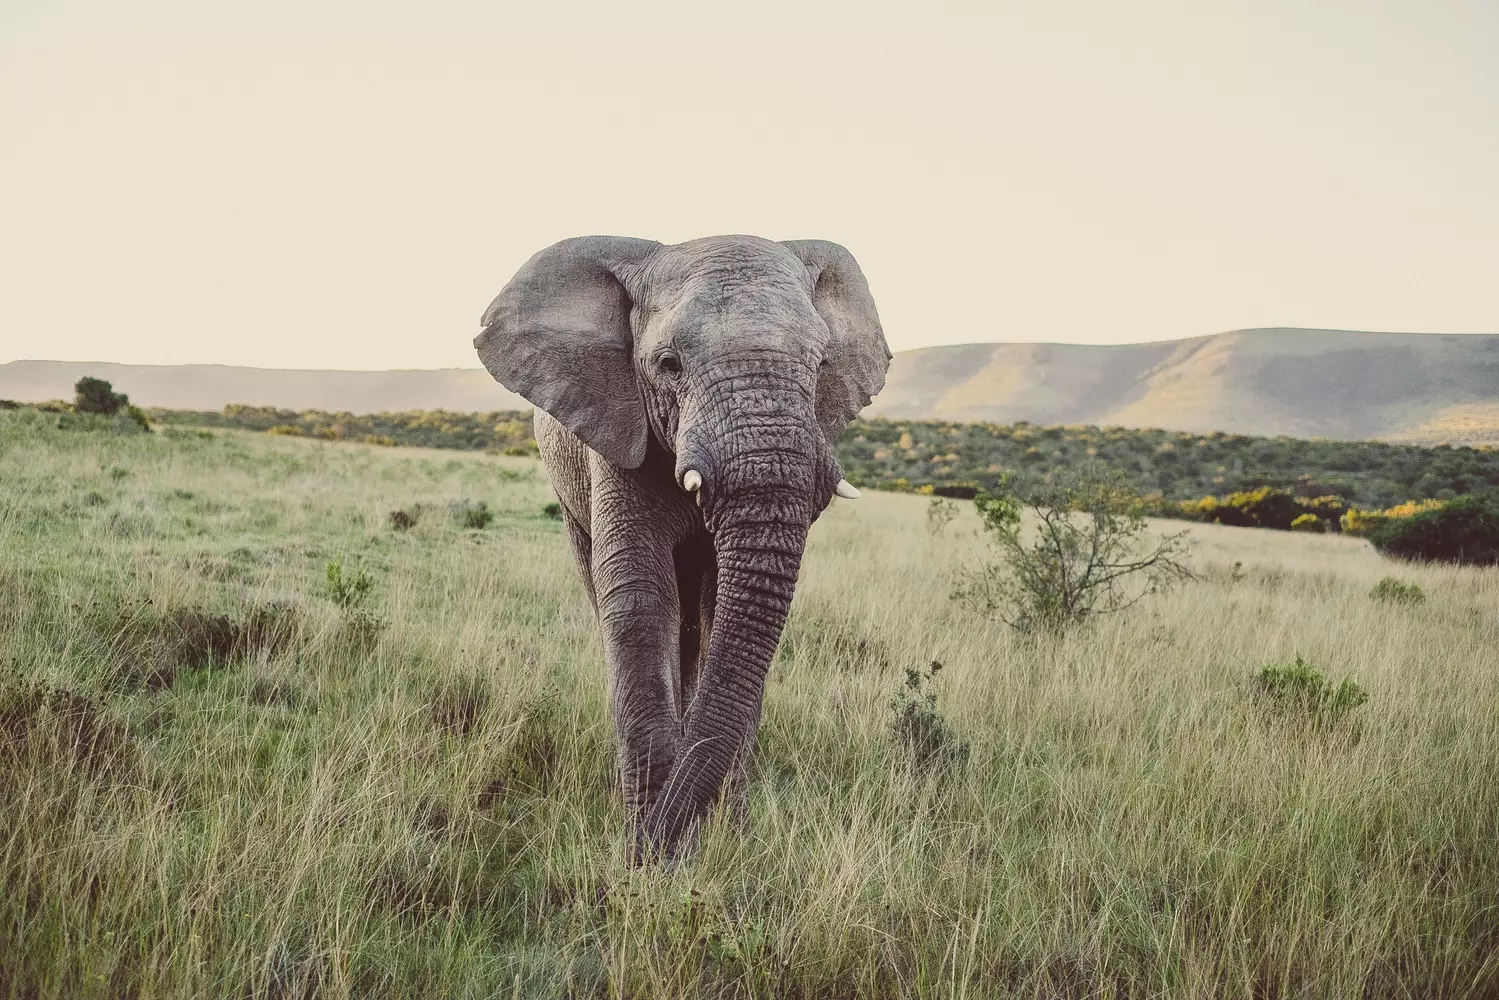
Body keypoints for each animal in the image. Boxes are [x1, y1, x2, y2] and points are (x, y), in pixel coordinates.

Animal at [470, 236, 887, 863]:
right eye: (669, 365)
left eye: (820, 366)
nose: (648, 850)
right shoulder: (619, 426)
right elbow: (640, 599)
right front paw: (650, 852)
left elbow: (725, 614)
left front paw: (726, 838)